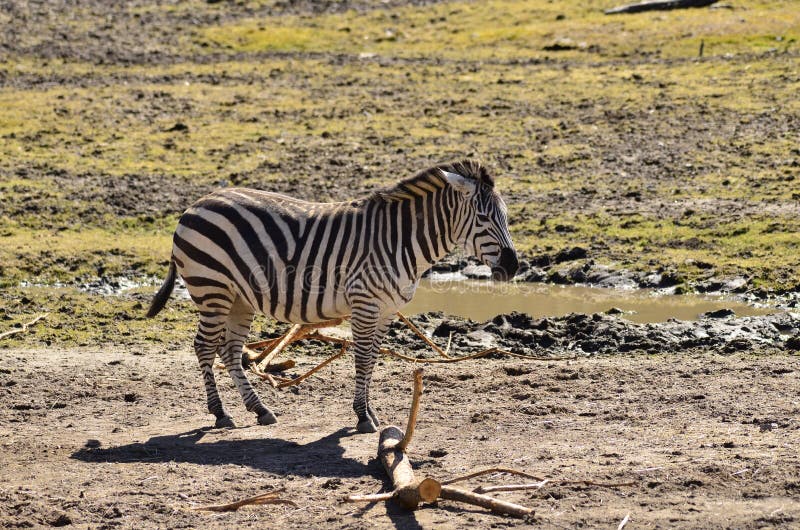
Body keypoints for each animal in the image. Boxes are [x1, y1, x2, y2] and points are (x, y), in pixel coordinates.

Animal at [147, 159, 519, 433]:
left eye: (506, 217)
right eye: (483, 217)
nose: (513, 266)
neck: (400, 240)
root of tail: (195, 205)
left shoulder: (385, 310)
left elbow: (373, 360)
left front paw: (370, 412)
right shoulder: (365, 303)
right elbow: (363, 358)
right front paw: (363, 417)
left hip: (239, 298)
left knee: (230, 350)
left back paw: (260, 409)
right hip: (212, 288)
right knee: (205, 347)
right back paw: (221, 413)